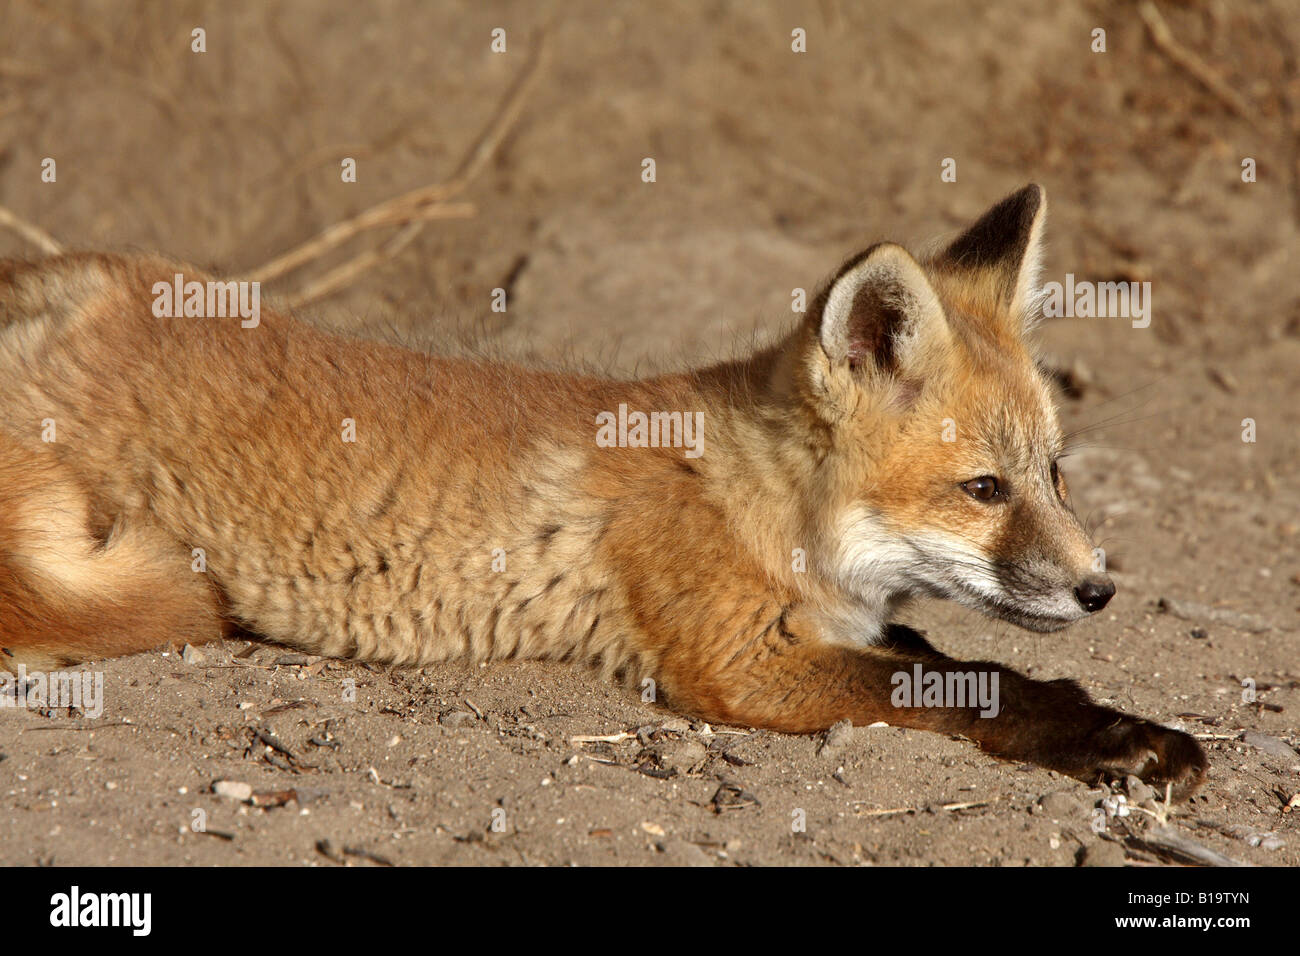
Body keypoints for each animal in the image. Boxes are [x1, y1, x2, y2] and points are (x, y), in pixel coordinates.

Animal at [0, 184, 1207, 797]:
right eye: (982, 488)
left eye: (1054, 472)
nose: (1100, 589)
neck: (763, 508)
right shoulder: (740, 668)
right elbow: (985, 682)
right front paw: (1112, 738)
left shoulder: (825, 627)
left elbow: (946, 654)